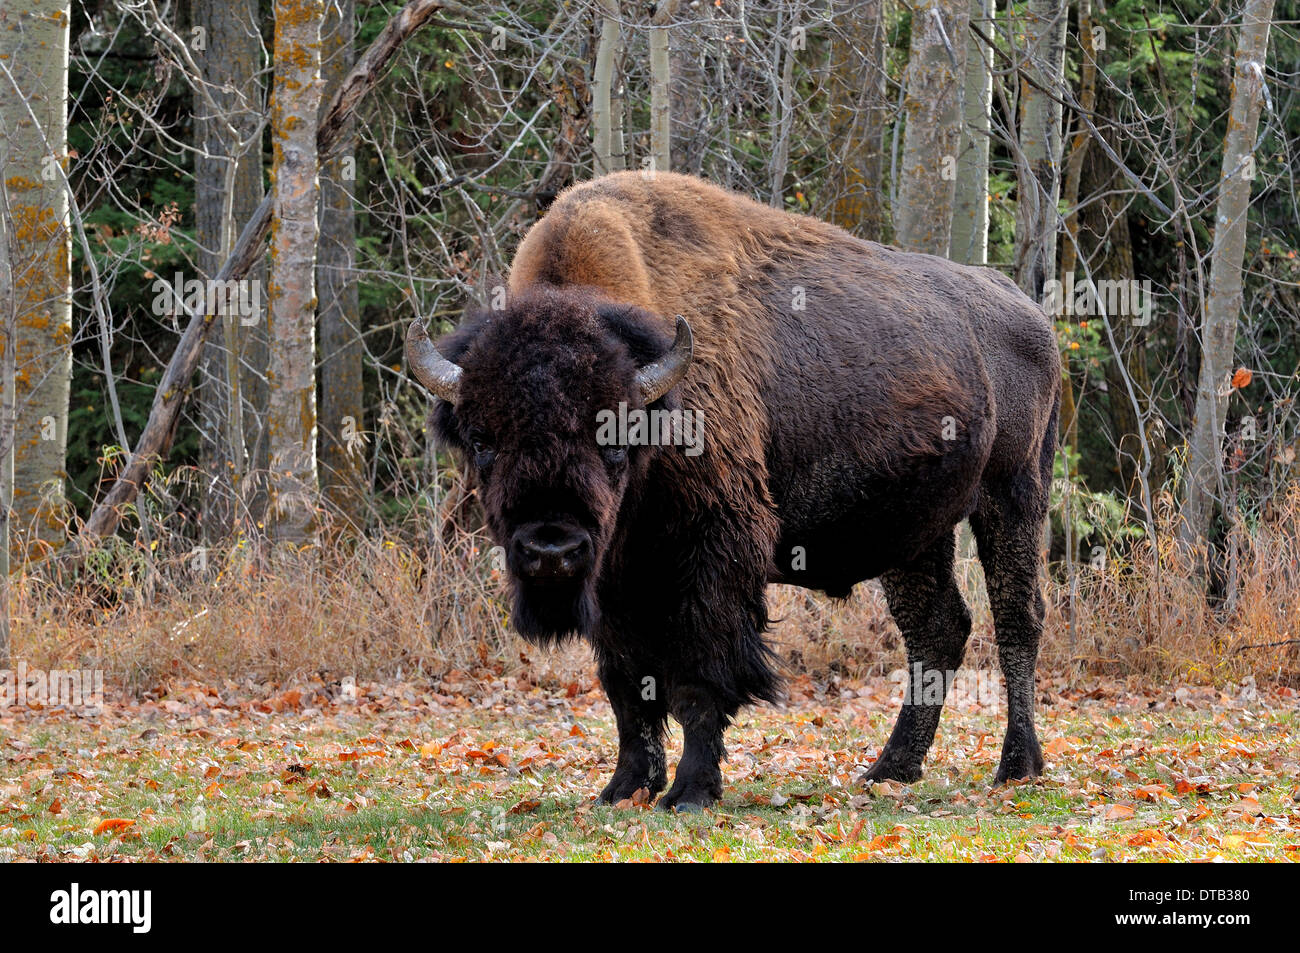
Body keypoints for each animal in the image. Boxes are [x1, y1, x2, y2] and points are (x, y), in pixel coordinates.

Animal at [408, 171, 1060, 810]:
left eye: (614, 438)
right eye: (482, 440)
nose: (551, 550)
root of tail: (1029, 314)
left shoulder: (713, 548)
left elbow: (701, 671)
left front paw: (691, 792)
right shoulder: (616, 579)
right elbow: (627, 687)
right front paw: (623, 789)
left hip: (1013, 495)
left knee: (1018, 619)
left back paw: (1015, 767)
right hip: (915, 534)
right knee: (937, 628)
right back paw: (889, 770)